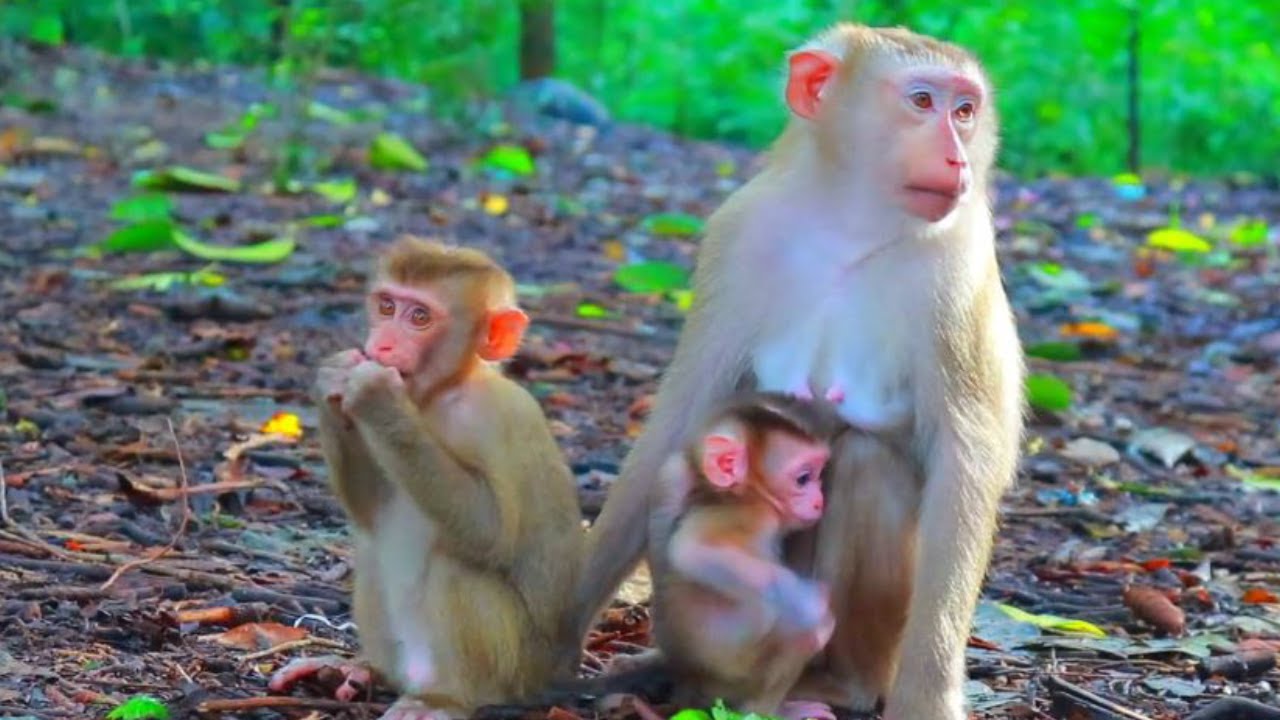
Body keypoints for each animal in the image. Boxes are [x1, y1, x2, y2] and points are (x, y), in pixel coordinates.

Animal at [269, 237, 585, 720]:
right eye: (386, 306)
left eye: (420, 318)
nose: (381, 345)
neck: (437, 396)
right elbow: (373, 514)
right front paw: (334, 381)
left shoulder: (496, 418)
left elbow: (490, 532)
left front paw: (378, 398)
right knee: (372, 550)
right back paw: (362, 670)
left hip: (515, 675)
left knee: (456, 568)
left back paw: (445, 700)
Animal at [571, 23, 1025, 720]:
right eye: (923, 101)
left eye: (966, 111)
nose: (958, 159)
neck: (850, 227)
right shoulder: (738, 236)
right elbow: (675, 426)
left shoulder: (957, 269)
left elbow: (965, 461)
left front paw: (930, 693)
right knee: (681, 469)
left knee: (866, 466)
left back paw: (840, 685)